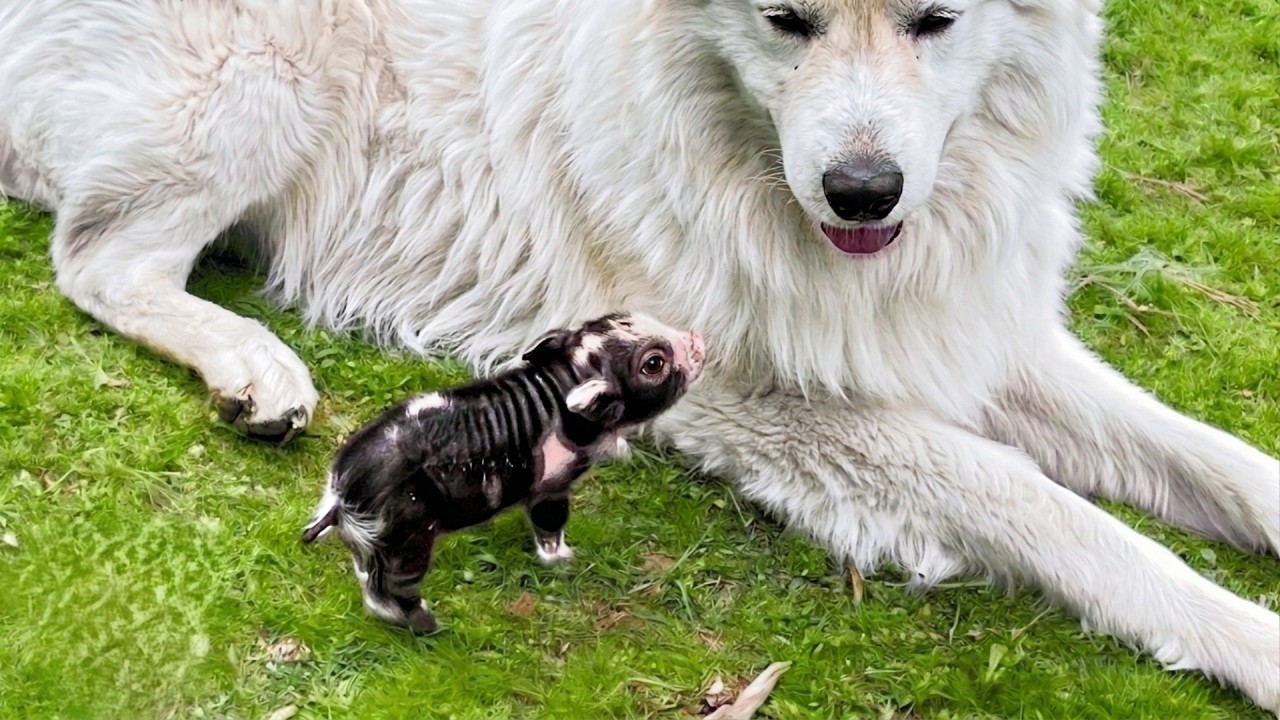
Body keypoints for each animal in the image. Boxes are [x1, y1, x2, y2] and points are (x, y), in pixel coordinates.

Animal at [301, 312, 706, 633]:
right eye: (653, 364)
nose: (698, 337)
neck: (564, 386)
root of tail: (342, 495)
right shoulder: (552, 486)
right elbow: (550, 523)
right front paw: (565, 560)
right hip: (405, 538)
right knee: (387, 594)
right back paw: (432, 625)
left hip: (370, 541)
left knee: (365, 575)